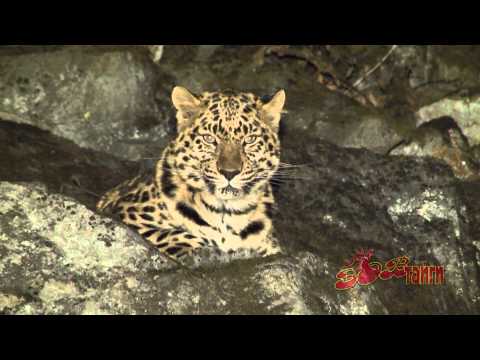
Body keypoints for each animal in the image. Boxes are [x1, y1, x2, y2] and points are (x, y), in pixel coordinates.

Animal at [95, 87, 286, 262]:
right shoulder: (125, 214)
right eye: (209, 139)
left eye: (250, 140)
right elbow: (170, 234)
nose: (229, 172)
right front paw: (205, 252)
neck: (226, 214)